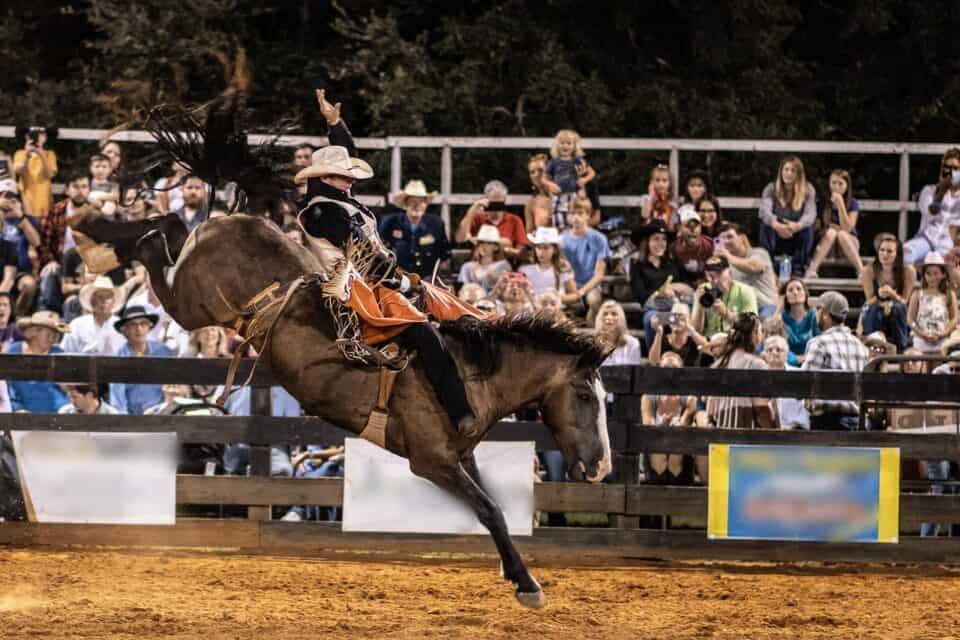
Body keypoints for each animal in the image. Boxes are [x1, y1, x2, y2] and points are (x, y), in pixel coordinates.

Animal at [71, 211, 613, 608]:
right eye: (586, 396)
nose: (601, 467)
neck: (467, 372)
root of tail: (229, 219)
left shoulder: (462, 456)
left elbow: (492, 508)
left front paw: (515, 571)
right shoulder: (433, 461)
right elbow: (491, 509)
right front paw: (527, 584)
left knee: (170, 225)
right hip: (190, 303)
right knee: (153, 243)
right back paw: (98, 239)